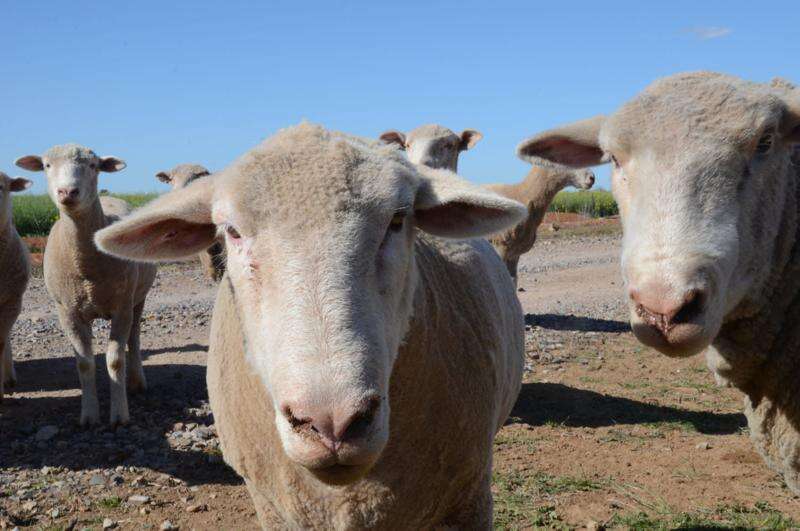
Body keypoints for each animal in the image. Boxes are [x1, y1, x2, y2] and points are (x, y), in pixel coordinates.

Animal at [15, 145, 157, 426]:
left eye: (93, 165)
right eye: (47, 165)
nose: (68, 192)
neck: (86, 267)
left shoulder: (122, 307)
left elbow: (116, 361)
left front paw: (119, 415)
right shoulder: (67, 311)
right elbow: (85, 363)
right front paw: (90, 415)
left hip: (137, 298)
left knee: (134, 339)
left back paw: (137, 382)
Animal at [95, 123, 527, 529]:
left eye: (398, 220)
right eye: (232, 232)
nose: (332, 424)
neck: (347, 494)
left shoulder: (469, 497)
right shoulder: (272, 507)